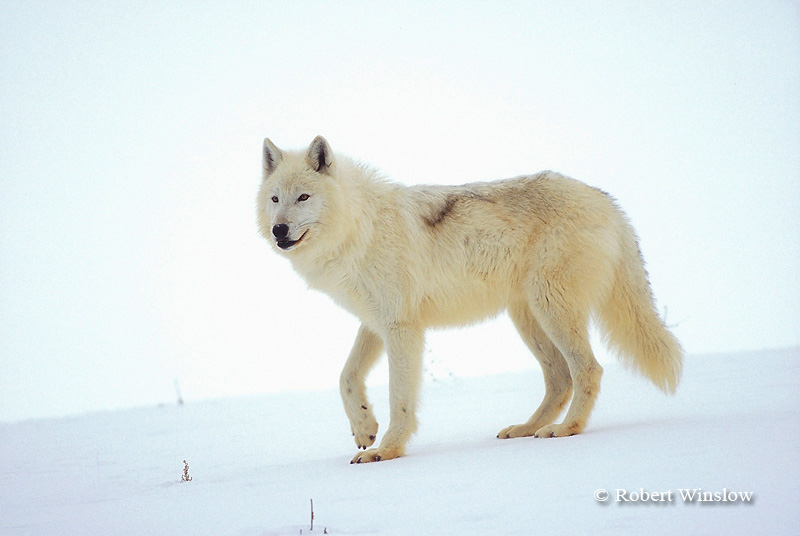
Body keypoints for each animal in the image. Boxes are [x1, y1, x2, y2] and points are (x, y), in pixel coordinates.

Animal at [257, 136, 683, 464]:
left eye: (303, 197)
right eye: (275, 199)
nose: (279, 230)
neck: (360, 228)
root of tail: (606, 200)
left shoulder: (402, 328)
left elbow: (399, 398)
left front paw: (388, 450)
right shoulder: (376, 323)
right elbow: (346, 377)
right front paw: (364, 429)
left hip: (553, 310)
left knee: (588, 370)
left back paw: (564, 429)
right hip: (528, 318)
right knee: (560, 378)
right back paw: (526, 428)